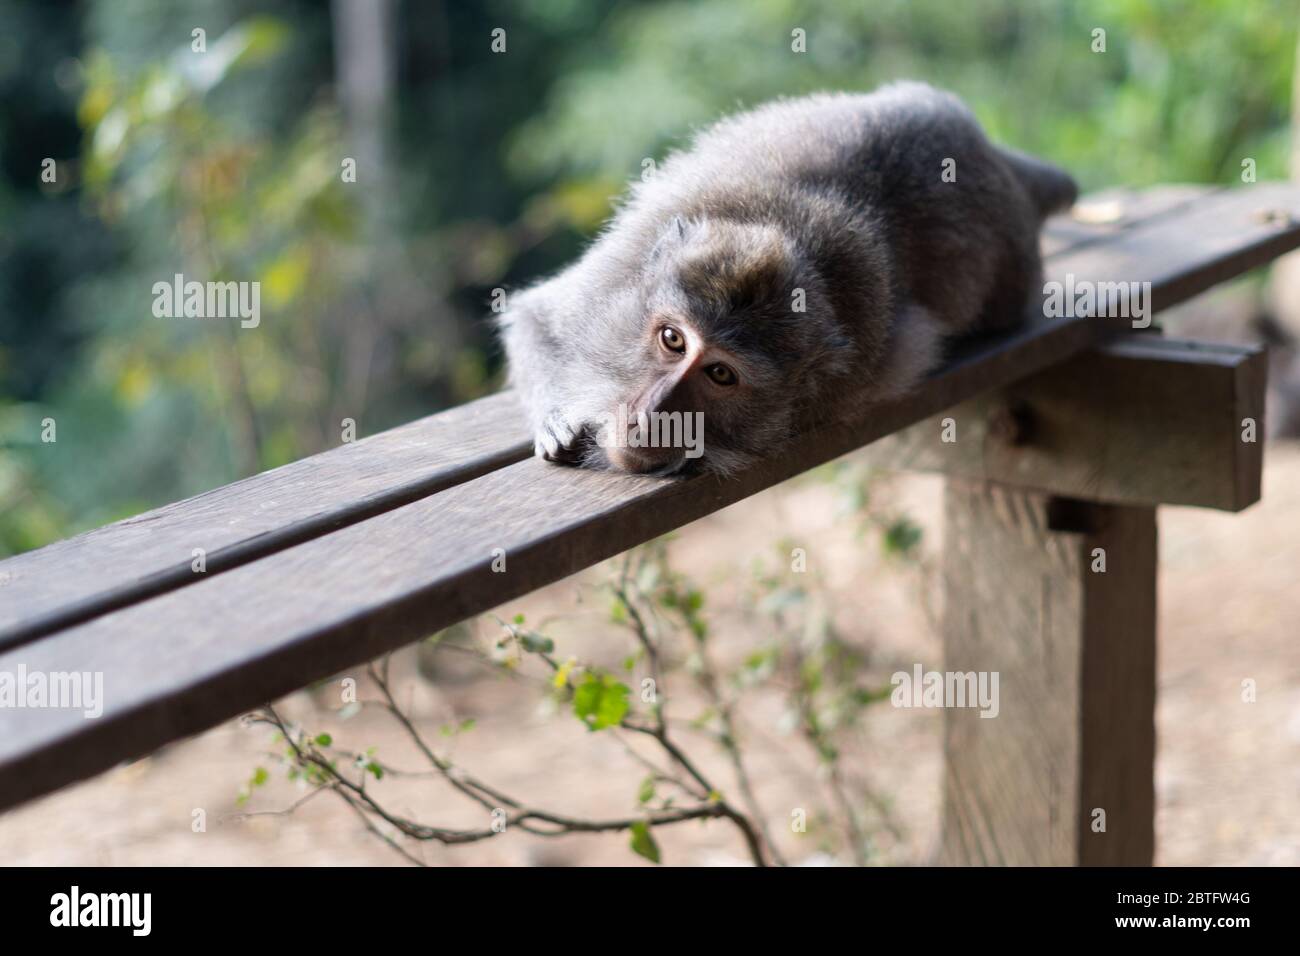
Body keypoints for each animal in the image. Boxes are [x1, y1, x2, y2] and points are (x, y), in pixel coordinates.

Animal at [497, 81, 1077, 477]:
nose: (652, 418)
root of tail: (979, 142)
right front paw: (557, 419)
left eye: (721, 374)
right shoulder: (618, 269)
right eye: (672, 339)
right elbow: (536, 316)